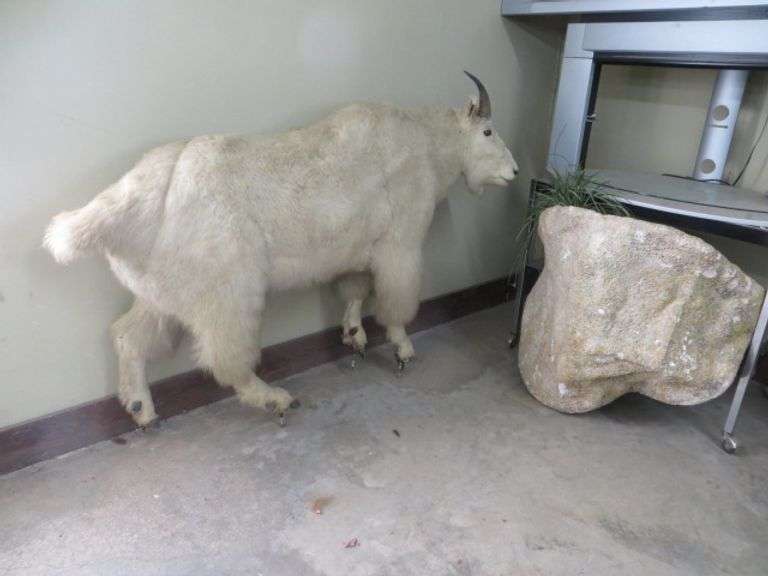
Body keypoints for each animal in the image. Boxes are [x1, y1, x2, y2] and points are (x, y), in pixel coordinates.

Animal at [44, 72, 518, 426]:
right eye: (488, 130)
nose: (513, 172)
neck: (427, 146)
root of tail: (128, 201)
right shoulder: (399, 246)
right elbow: (396, 304)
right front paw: (402, 350)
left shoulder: (356, 252)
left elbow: (355, 292)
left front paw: (355, 337)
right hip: (229, 290)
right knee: (225, 358)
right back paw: (275, 399)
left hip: (161, 291)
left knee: (128, 335)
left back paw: (142, 409)